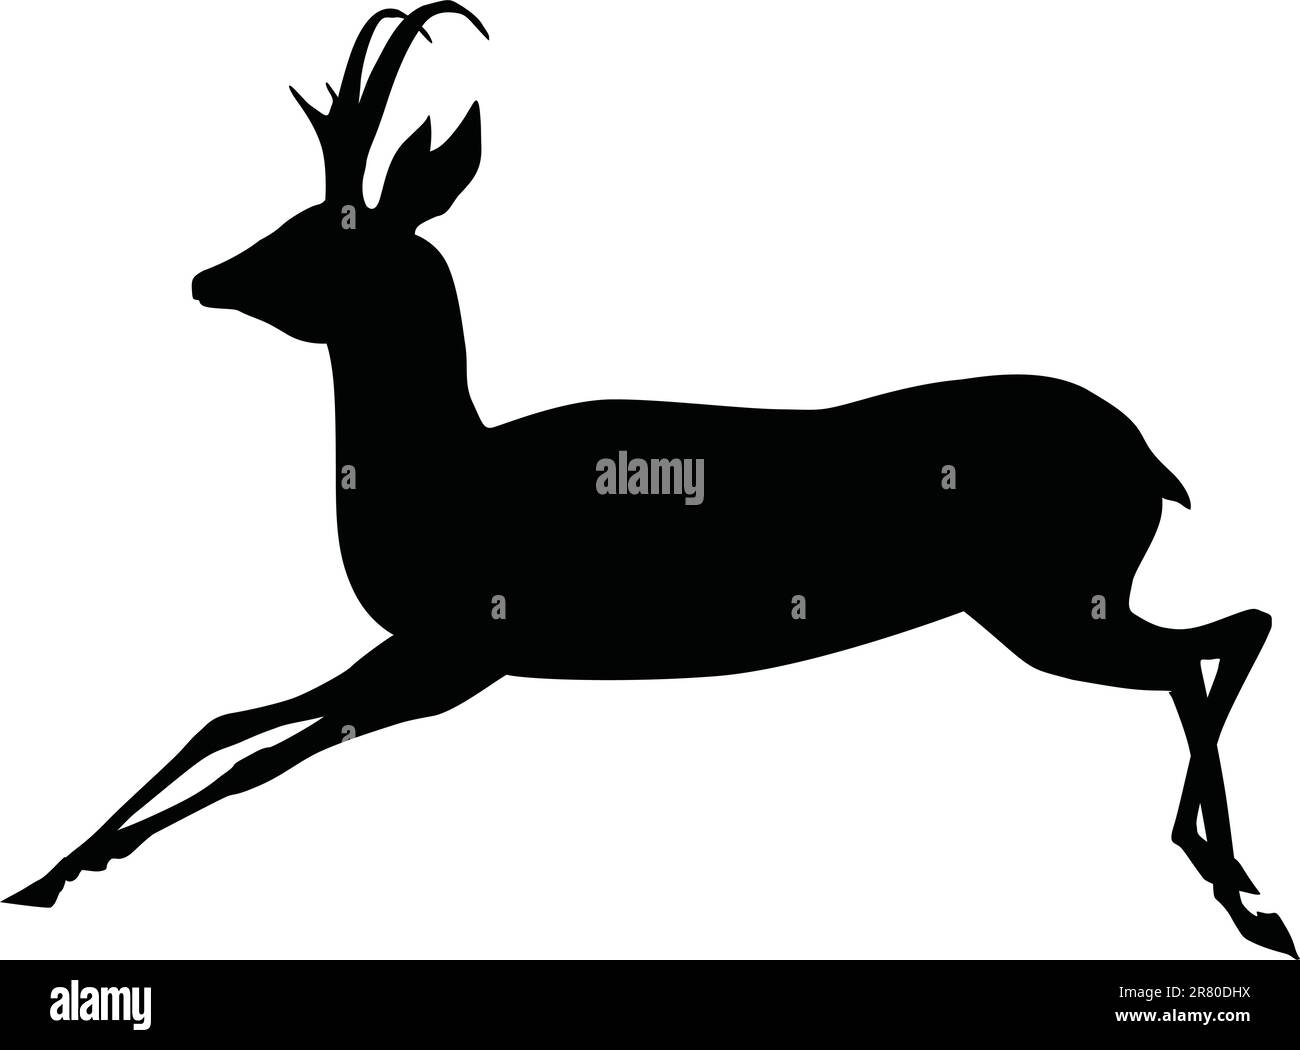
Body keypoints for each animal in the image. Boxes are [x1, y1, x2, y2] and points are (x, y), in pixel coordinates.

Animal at [6, 3, 1293, 958]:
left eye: (335, 229)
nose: (207, 277)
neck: (442, 473)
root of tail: (1148, 457)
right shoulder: (426, 652)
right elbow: (226, 720)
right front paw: (50, 873)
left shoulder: (458, 654)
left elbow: (263, 749)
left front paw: (66, 872)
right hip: (1061, 602)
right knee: (1219, 634)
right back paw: (1235, 884)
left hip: (1046, 605)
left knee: (1204, 644)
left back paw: (1239, 897)